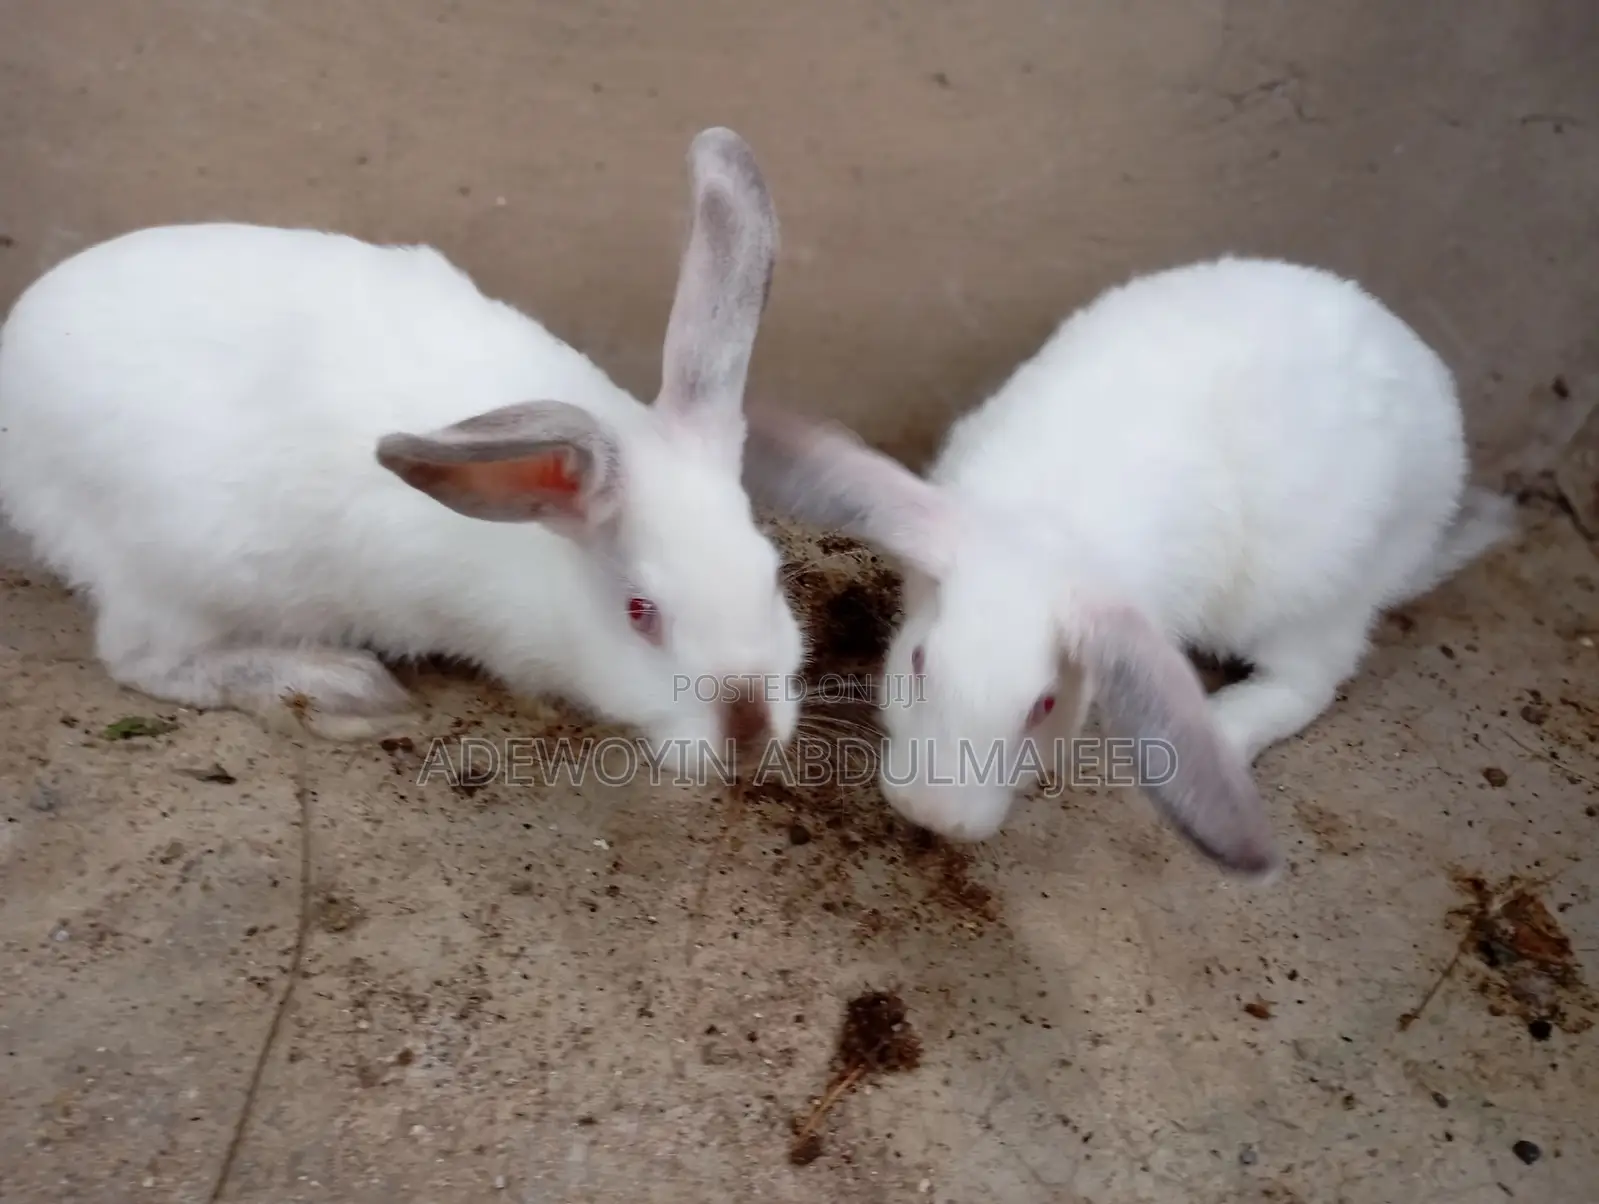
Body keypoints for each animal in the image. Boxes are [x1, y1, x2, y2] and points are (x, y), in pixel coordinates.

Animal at [0, 126, 806, 774]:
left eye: (771, 576)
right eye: (641, 612)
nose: (749, 737)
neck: (543, 550)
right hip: (186, 572)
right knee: (141, 660)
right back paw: (344, 686)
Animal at [744, 255, 1518, 879]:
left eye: (1044, 705)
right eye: (917, 664)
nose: (935, 815)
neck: (1045, 535)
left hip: (1315, 600)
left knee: (1309, 683)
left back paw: (1225, 727)